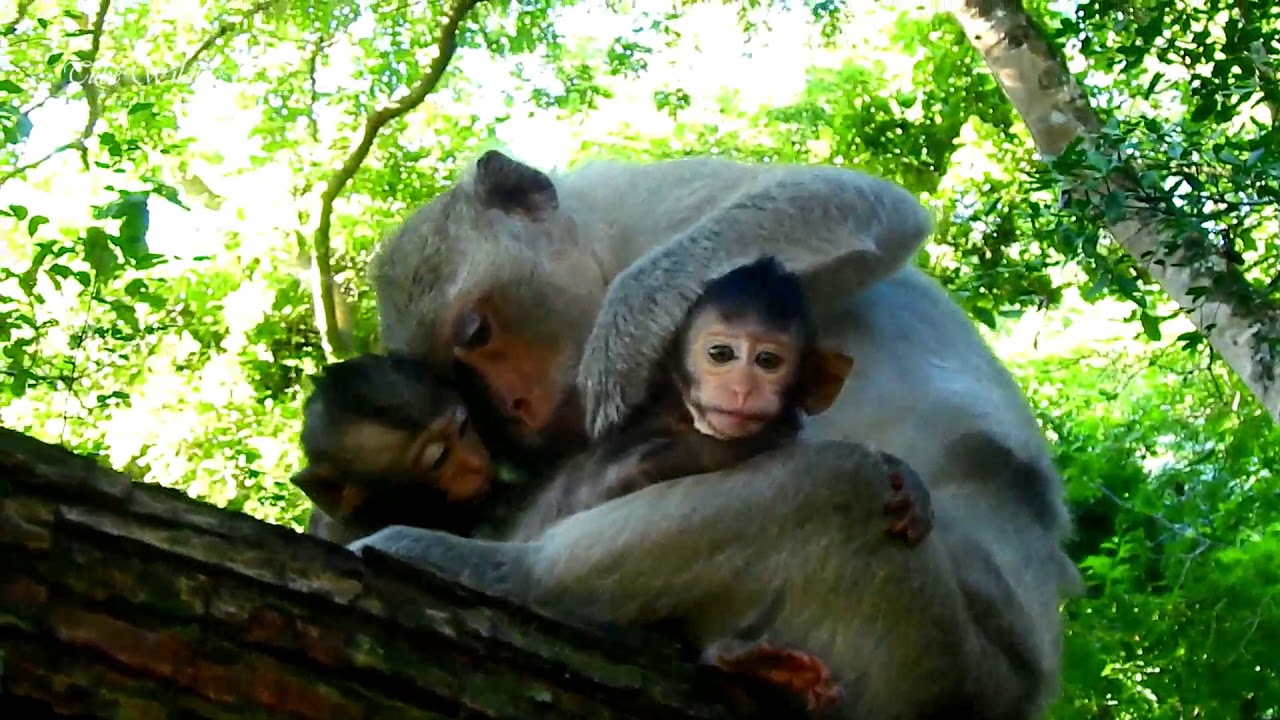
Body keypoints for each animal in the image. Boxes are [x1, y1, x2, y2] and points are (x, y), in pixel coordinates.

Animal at [357, 150, 1083, 719]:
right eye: (468, 393)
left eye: (477, 331)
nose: (512, 405)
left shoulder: (649, 207)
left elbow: (852, 203)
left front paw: (623, 328)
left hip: (938, 656)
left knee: (843, 485)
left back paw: (509, 573)